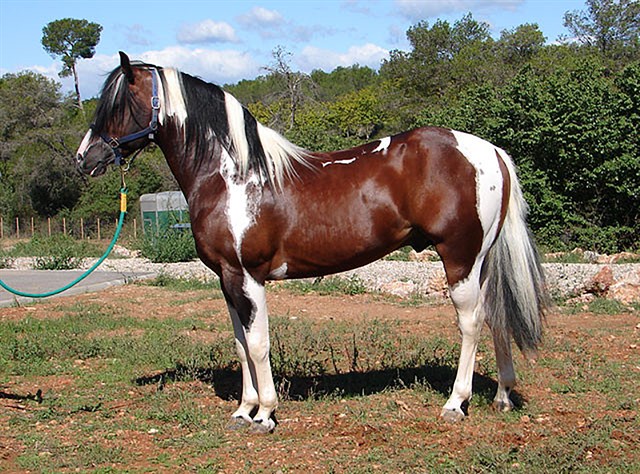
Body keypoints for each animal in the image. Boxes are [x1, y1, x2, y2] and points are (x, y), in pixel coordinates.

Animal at [76, 52, 549, 432]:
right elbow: (241, 344)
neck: (233, 176)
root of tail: (489, 151)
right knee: (495, 315)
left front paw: (265, 414)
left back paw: (456, 403)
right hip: (480, 260)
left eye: (119, 105)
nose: (84, 159)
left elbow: (259, 343)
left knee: (471, 323)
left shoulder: (248, 277)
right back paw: (502, 396)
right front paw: (242, 411)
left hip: (459, 258)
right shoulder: (227, 279)